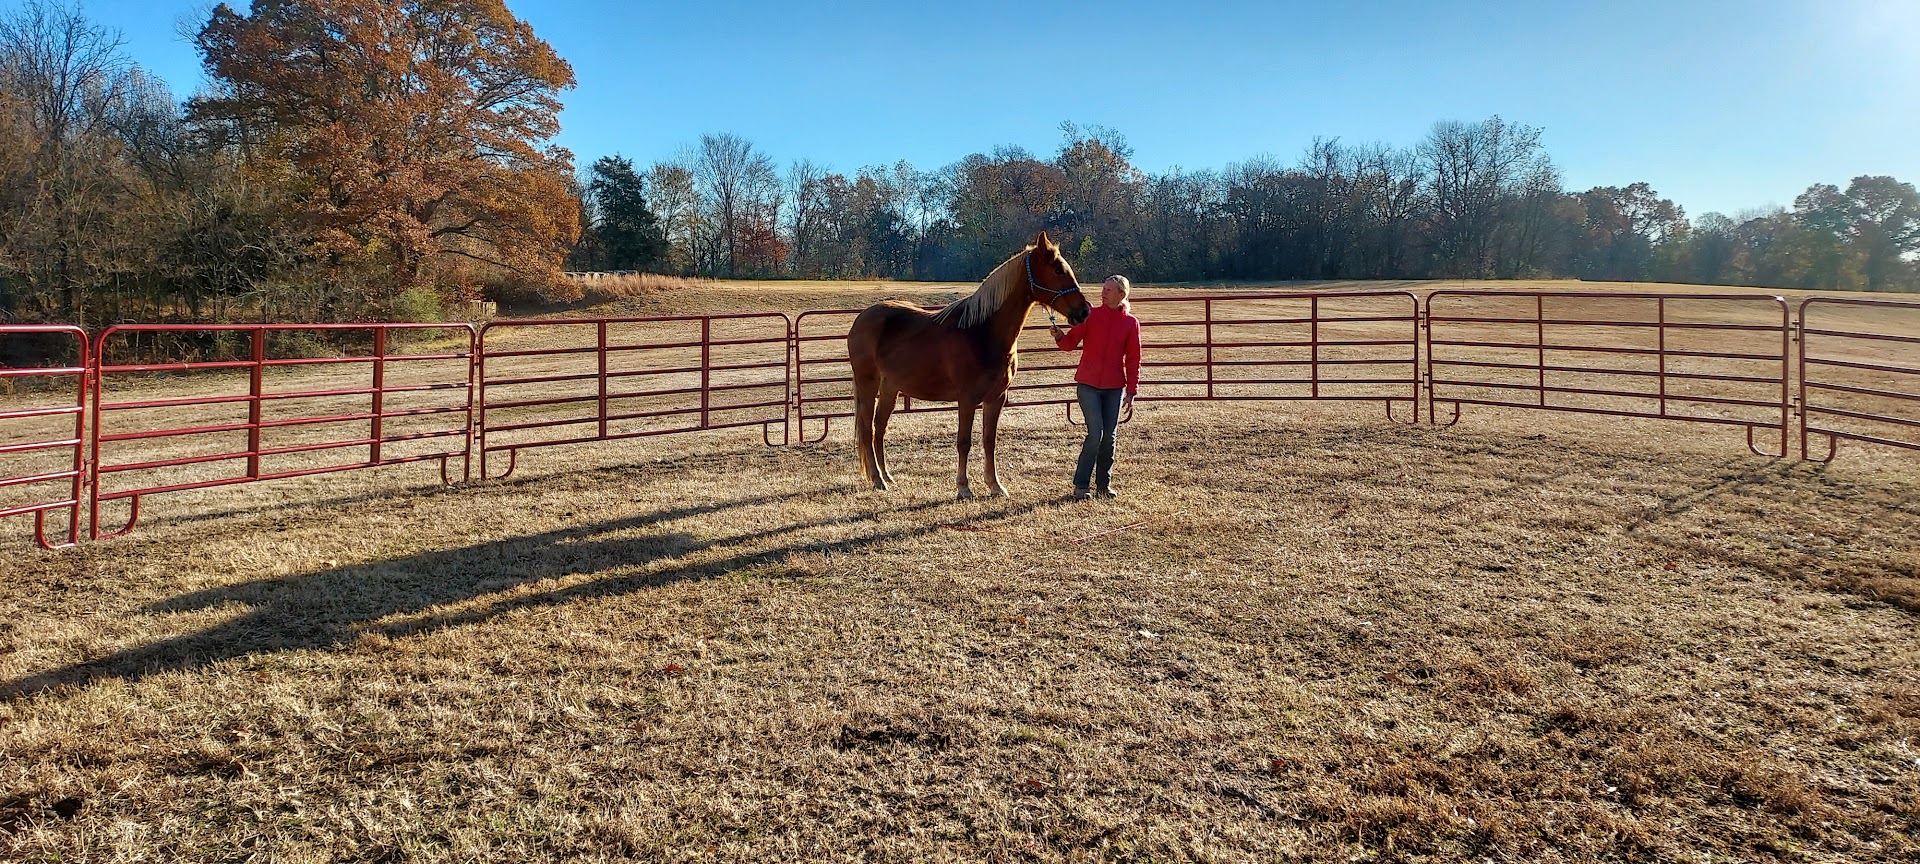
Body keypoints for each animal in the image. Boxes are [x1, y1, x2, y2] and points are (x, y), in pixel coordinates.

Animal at [846, 231, 1093, 498]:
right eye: (1058, 270)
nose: (1084, 312)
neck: (982, 332)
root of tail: (862, 318)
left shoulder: (996, 398)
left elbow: (989, 441)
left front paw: (995, 485)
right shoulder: (966, 399)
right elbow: (964, 442)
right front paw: (963, 487)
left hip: (890, 387)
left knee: (880, 427)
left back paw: (887, 477)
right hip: (868, 384)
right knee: (868, 429)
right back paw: (877, 479)